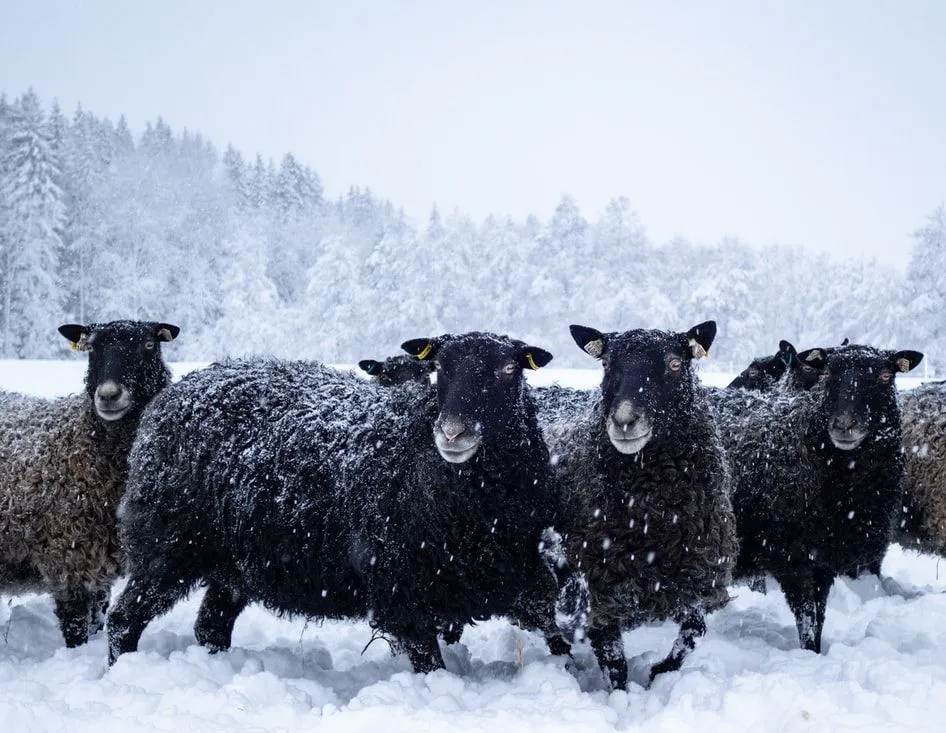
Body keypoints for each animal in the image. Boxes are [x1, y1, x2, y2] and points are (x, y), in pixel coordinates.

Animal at [0, 320, 179, 648]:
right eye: (92, 347)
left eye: (149, 345)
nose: (108, 395)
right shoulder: (69, 557)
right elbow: (76, 626)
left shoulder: (100, 562)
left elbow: (98, 617)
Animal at [109, 332, 568, 668]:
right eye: (440, 368)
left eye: (509, 369)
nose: (453, 432)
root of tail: (170, 396)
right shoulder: (401, 590)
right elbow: (430, 663)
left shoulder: (516, 569)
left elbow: (554, 628)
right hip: (168, 545)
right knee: (123, 620)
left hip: (233, 562)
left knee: (211, 626)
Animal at [540, 318, 736, 688]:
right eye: (606, 363)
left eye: (675, 364)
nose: (624, 421)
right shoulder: (598, 586)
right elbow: (614, 662)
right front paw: (623, 696)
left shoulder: (699, 572)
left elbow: (692, 632)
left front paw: (661, 671)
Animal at [712, 340, 920, 648]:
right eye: (829, 373)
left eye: (886, 376)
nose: (844, 424)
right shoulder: (792, 558)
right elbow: (807, 617)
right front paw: (808, 651)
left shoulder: (823, 559)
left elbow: (818, 617)